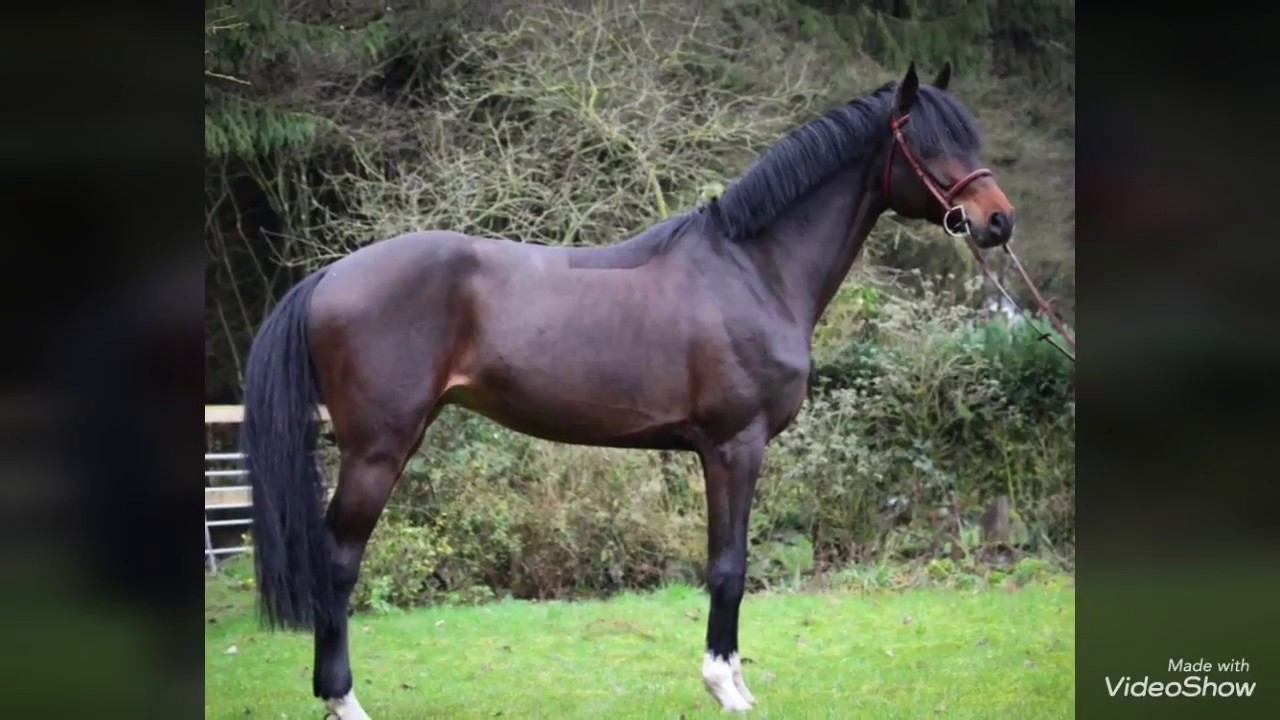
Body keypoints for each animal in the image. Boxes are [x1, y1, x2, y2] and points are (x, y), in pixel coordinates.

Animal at [239, 61, 1016, 718]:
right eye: (928, 144)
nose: (998, 220)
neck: (753, 269)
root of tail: (329, 276)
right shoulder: (735, 447)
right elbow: (729, 567)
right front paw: (726, 687)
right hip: (378, 449)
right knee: (339, 561)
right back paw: (343, 700)